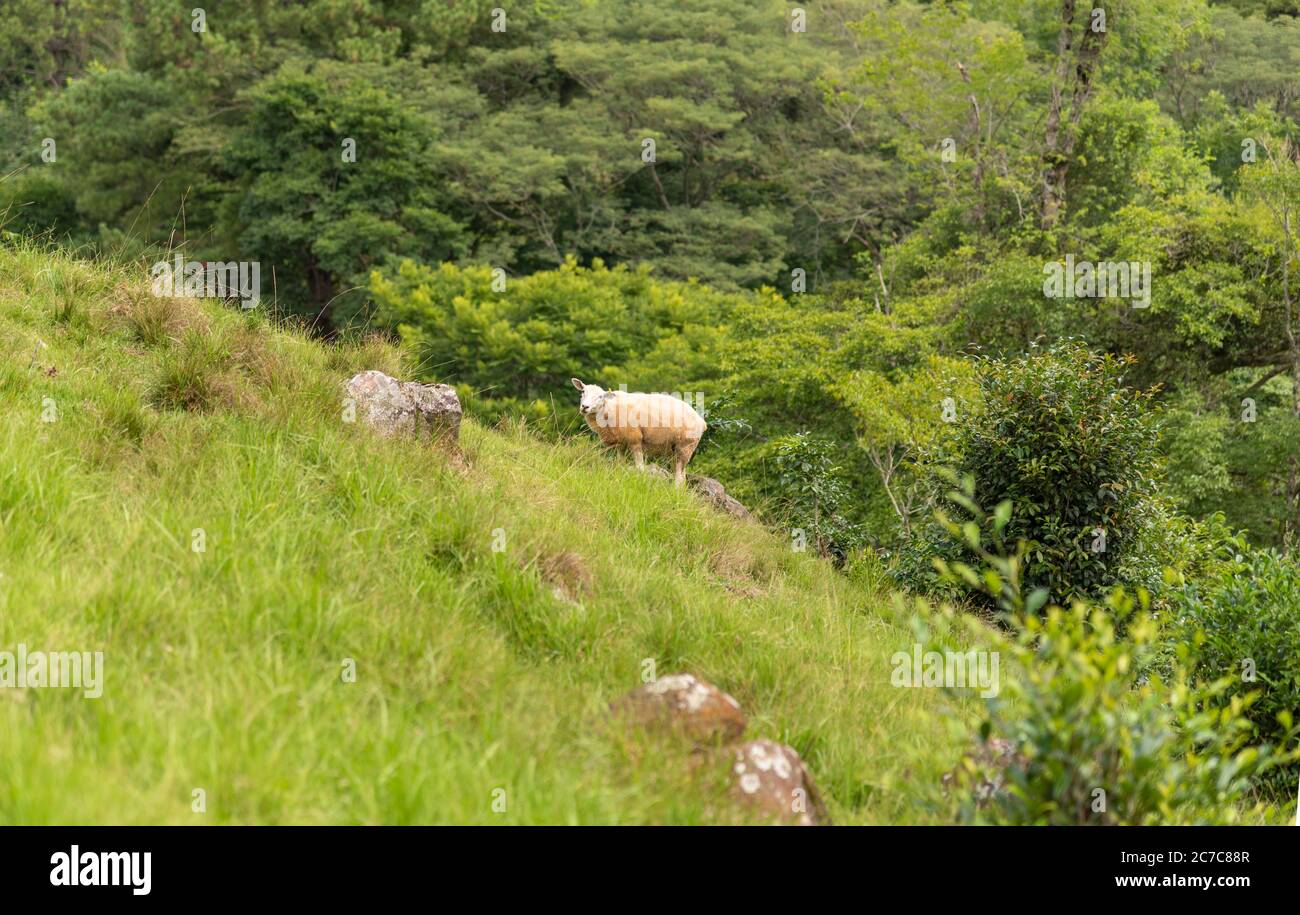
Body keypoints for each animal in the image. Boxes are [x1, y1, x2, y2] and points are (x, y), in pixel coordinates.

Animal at [570, 378, 706, 486]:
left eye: (600, 396)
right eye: (583, 392)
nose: (585, 407)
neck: (608, 409)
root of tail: (702, 422)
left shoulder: (635, 440)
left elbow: (640, 467)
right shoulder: (620, 444)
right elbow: (620, 465)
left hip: (686, 447)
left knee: (679, 478)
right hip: (676, 450)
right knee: (682, 476)